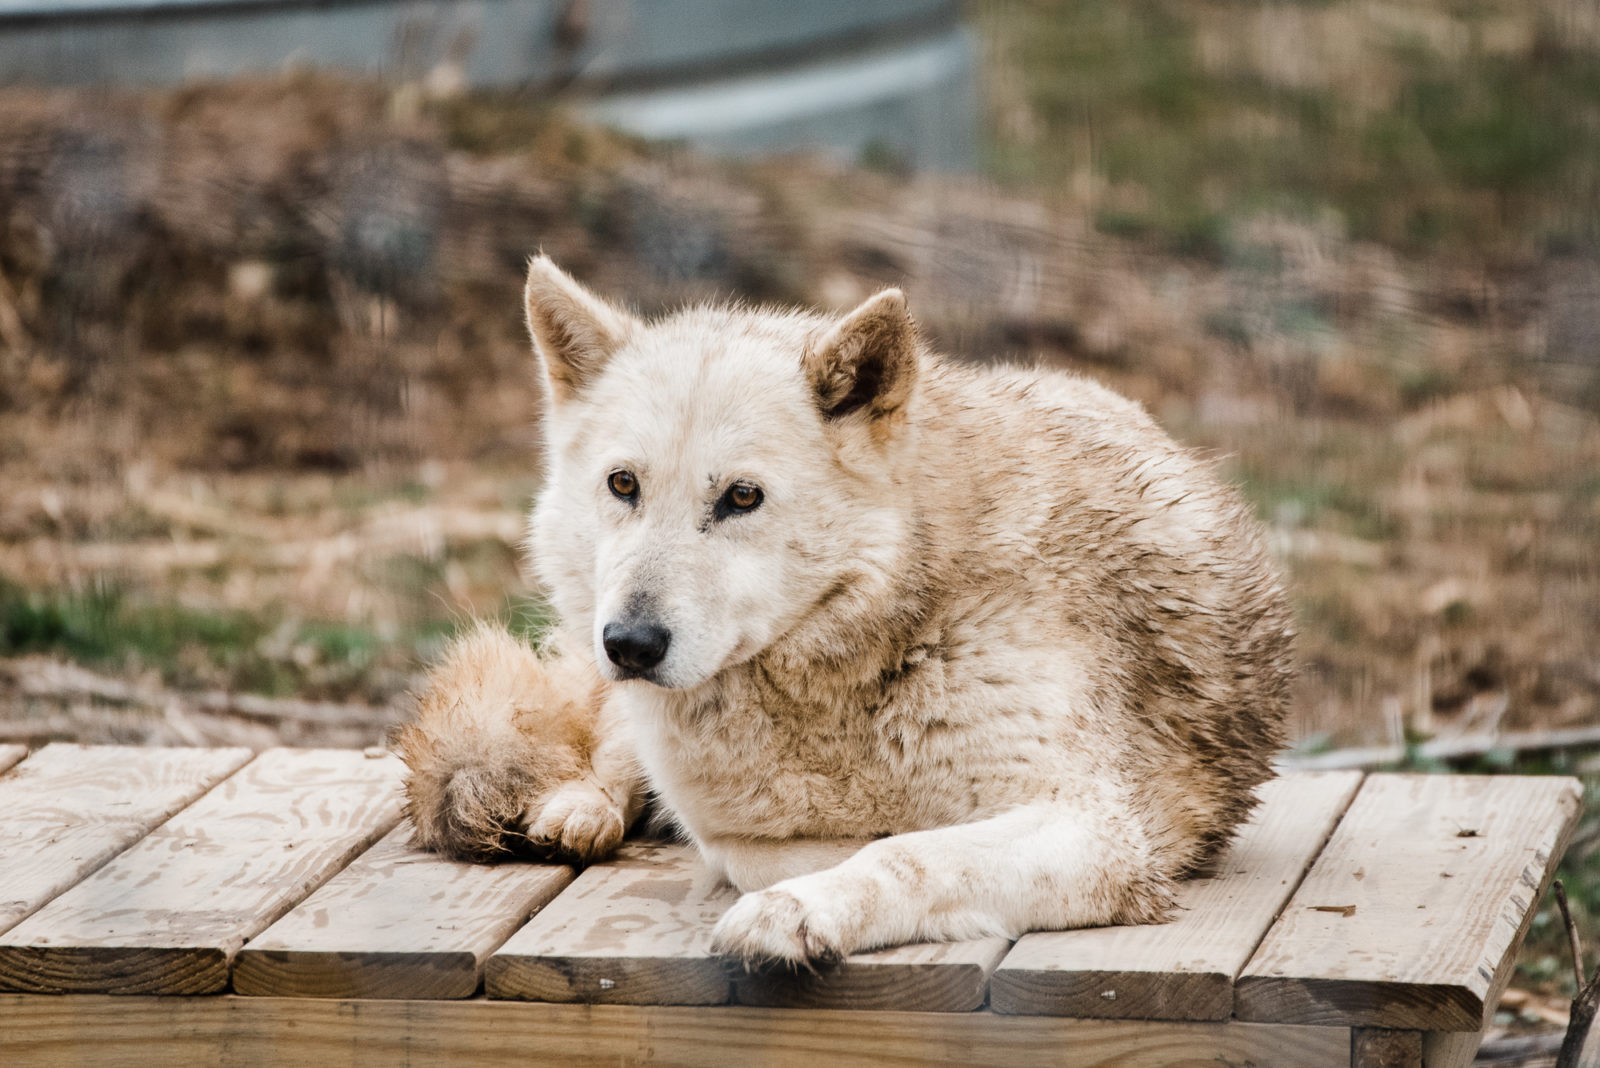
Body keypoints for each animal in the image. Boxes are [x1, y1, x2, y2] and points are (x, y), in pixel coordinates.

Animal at [395, 256, 1293, 966]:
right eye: (624, 484)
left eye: (742, 497)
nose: (632, 643)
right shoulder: (723, 814)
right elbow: (762, 845)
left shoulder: (1093, 830)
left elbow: (904, 856)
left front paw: (801, 909)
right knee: (604, 750)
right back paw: (576, 809)